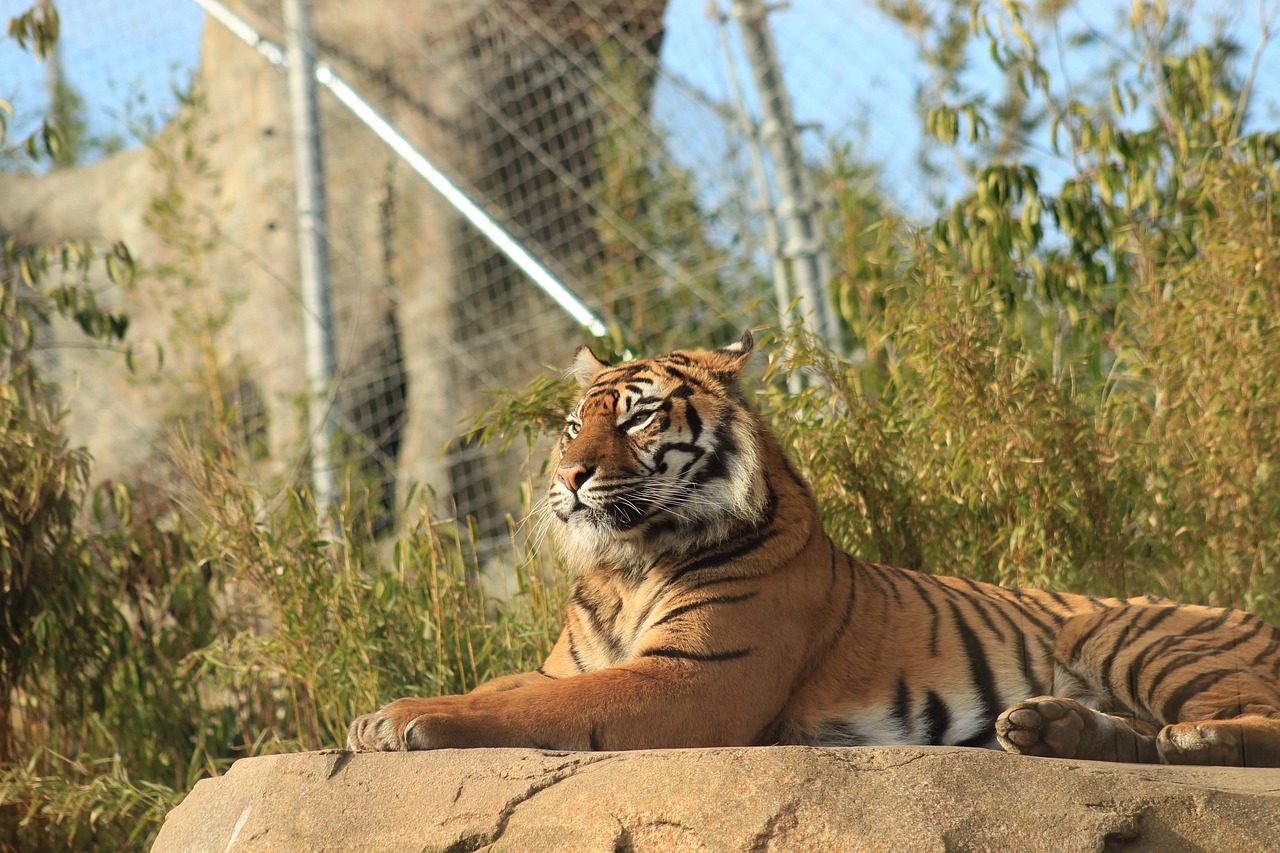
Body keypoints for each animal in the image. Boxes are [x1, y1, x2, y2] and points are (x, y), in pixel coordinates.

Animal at [347, 332, 1280, 766]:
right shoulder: (569, 662)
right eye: (576, 423)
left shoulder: (694, 677)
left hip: (1128, 632)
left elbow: (536, 708)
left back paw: (1196, 742)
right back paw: (1051, 728)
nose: (569, 475)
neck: (628, 564)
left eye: (640, 417)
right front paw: (376, 711)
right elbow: (507, 686)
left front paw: (400, 718)